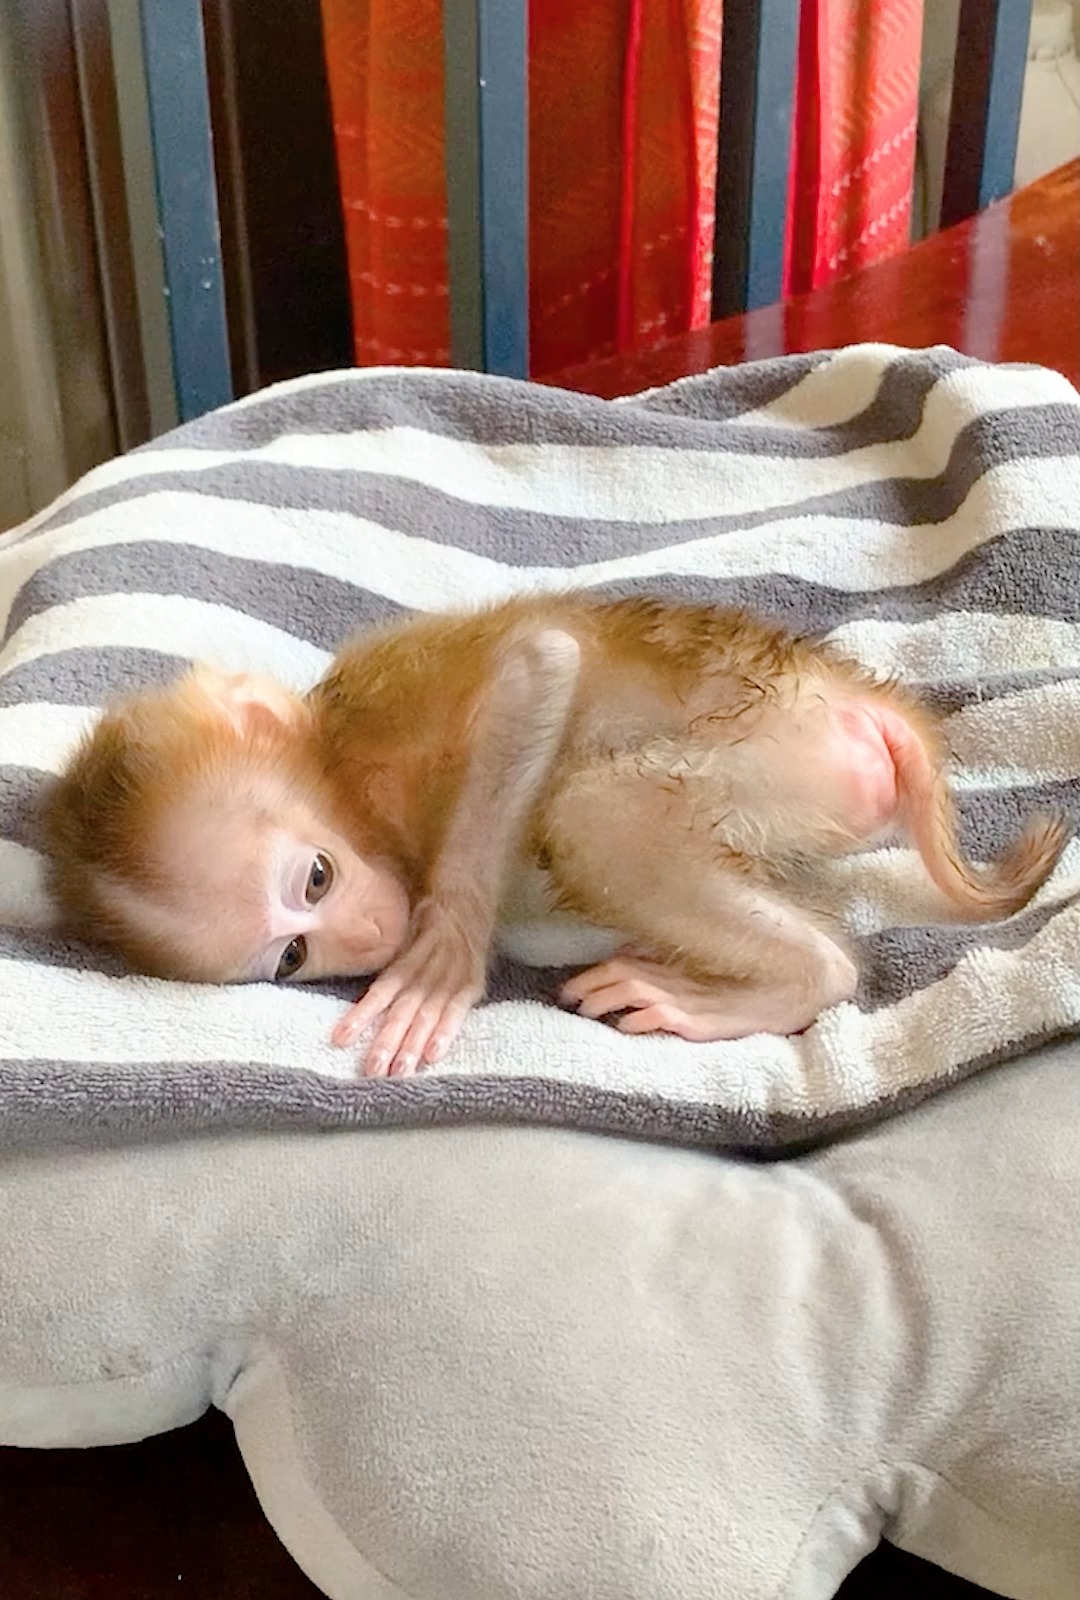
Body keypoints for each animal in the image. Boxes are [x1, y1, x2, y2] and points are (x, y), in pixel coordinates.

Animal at [42, 594, 1068, 1078]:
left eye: (318, 879)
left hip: (787, 745)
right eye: (293, 954)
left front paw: (443, 954)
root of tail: (861, 703)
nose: (367, 936)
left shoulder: (384, 721)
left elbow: (541, 663)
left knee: (591, 812)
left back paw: (795, 979)